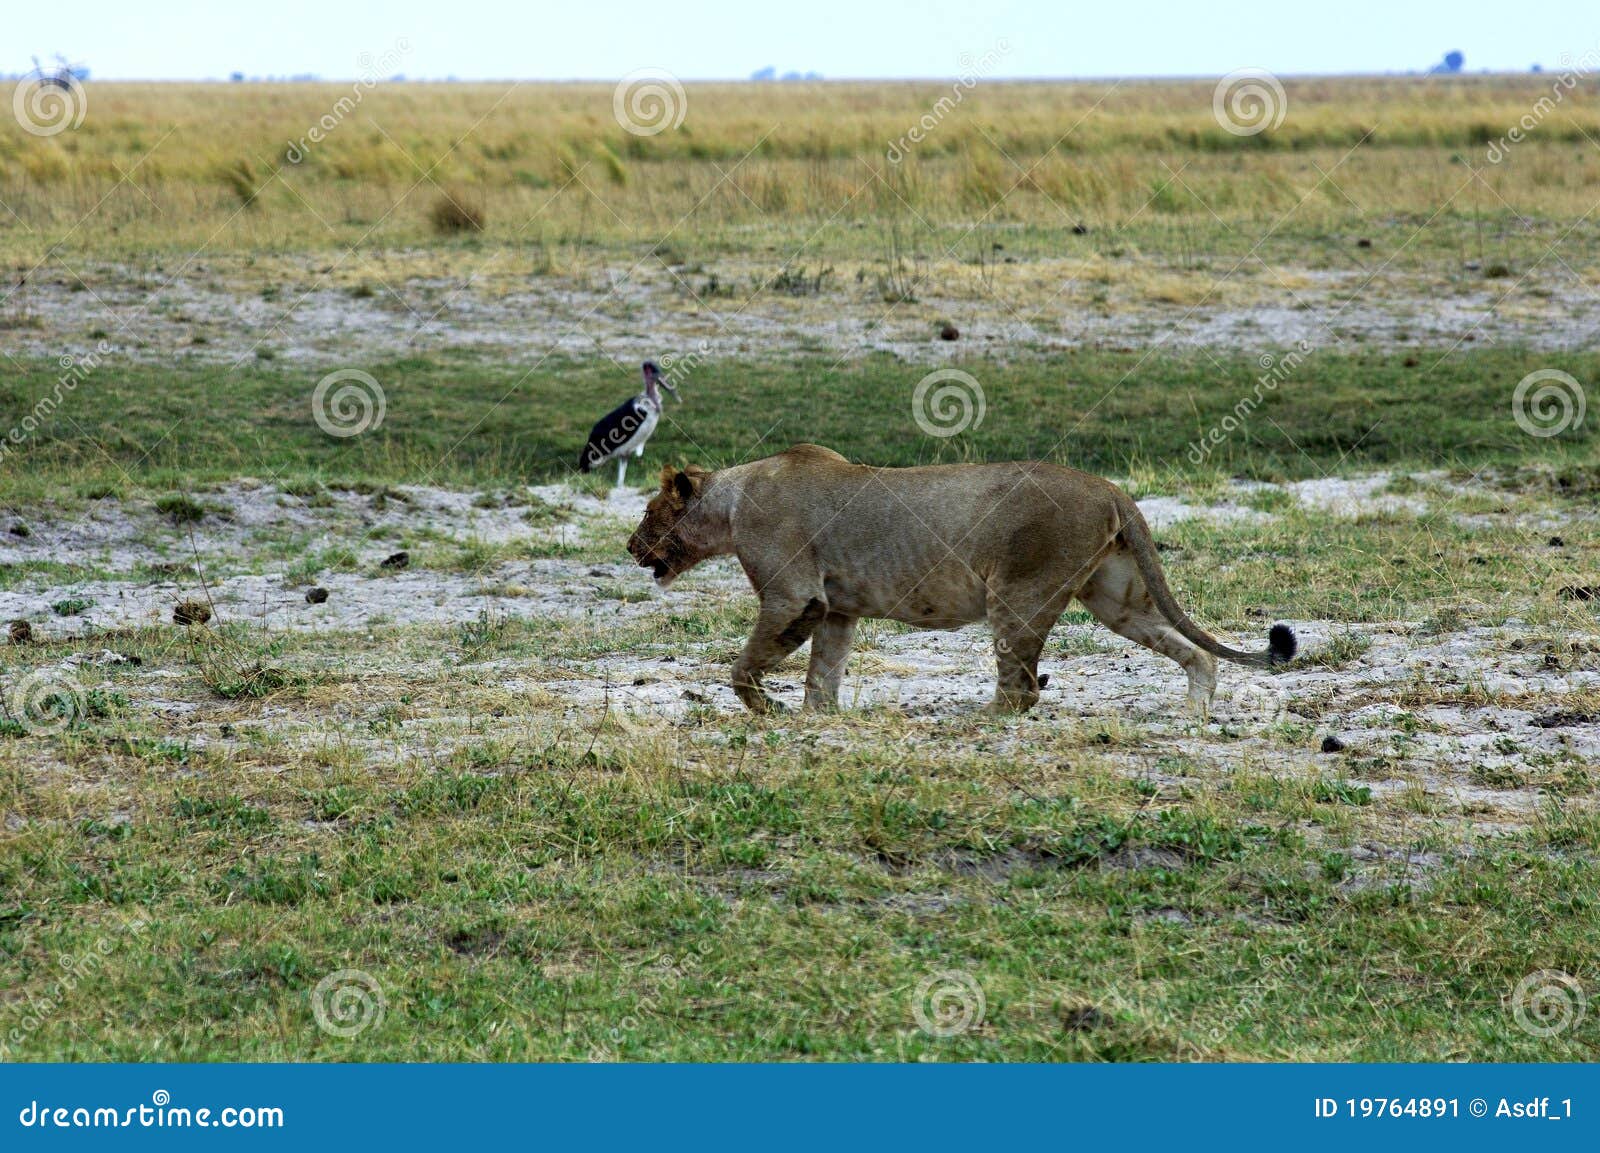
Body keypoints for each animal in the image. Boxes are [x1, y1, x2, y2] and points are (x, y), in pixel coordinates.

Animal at [627, 444, 1296, 714]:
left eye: (649, 512)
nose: (630, 547)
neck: (731, 502)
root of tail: (1112, 488)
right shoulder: (837, 608)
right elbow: (824, 671)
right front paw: (816, 717)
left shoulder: (795, 595)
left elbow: (744, 666)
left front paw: (767, 709)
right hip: (1116, 597)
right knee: (1190, 649)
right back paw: (1196, 708)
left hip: (1019, 591)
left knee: (1022, 690)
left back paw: (978, 717)